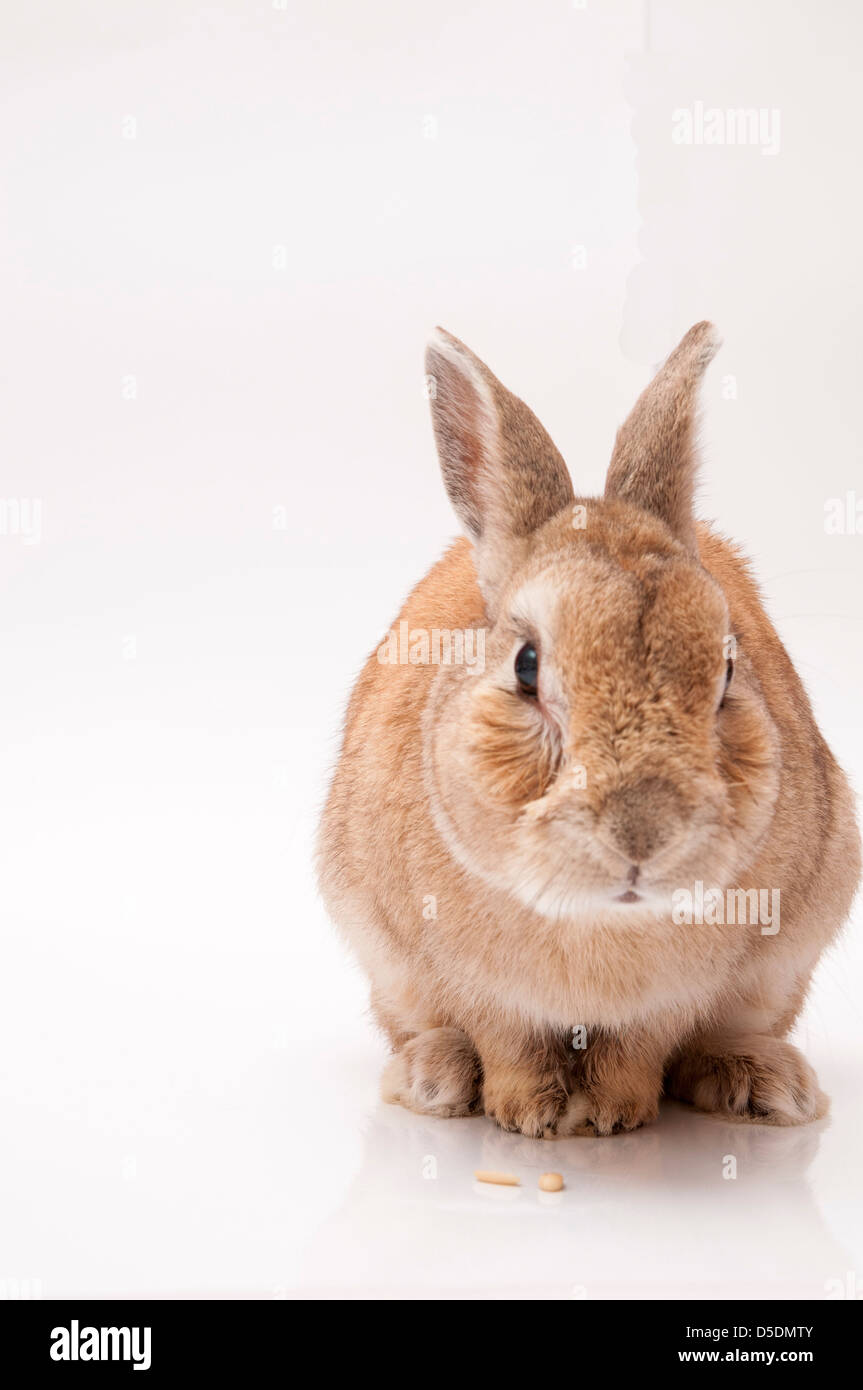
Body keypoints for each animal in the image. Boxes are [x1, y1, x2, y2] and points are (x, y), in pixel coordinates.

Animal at [317, 321, 861, 1138]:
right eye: (527, 666)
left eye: (726, 669)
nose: (642, 834)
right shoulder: (466, 983)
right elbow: (504, 1038)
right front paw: (530, 1115)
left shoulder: (677, 997)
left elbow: (641, 1047)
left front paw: (607, 1114)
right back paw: (434, 1077)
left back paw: (764, 1084)